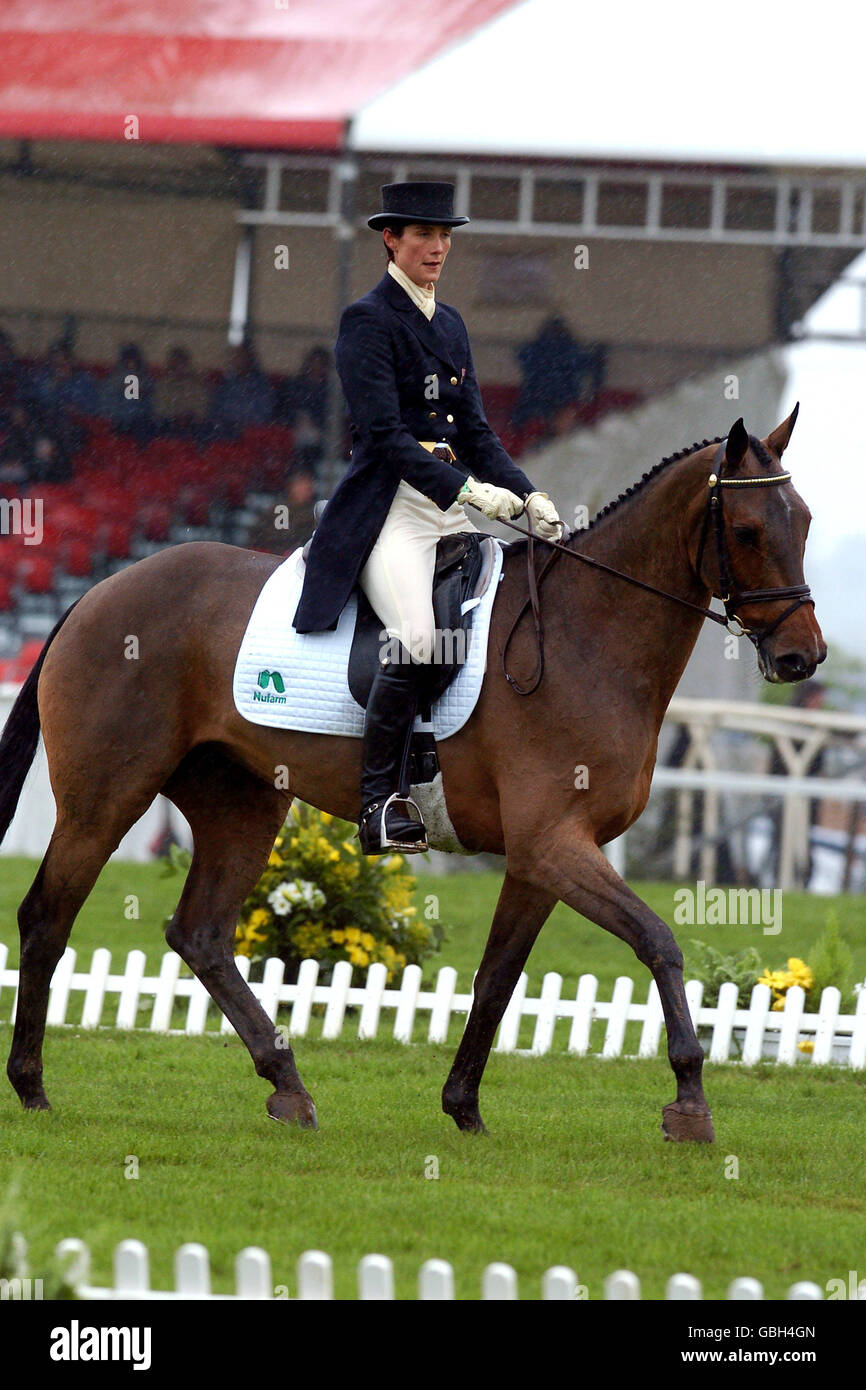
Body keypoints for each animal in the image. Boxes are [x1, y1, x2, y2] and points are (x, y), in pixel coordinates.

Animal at [0, 410, 824, 1142]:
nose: (802, 658)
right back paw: (33, 1087)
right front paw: (690, 1100)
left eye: (806, 523)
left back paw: (288, 1086)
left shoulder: (539, 858)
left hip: (242, 804)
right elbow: (659, 942)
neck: (588, 637)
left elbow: (497, 979)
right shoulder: (555, 844)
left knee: (199, 933)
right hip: (105, 799)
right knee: (48, 919)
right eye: (748, 532)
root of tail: (100, 591)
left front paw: (463, 1107)